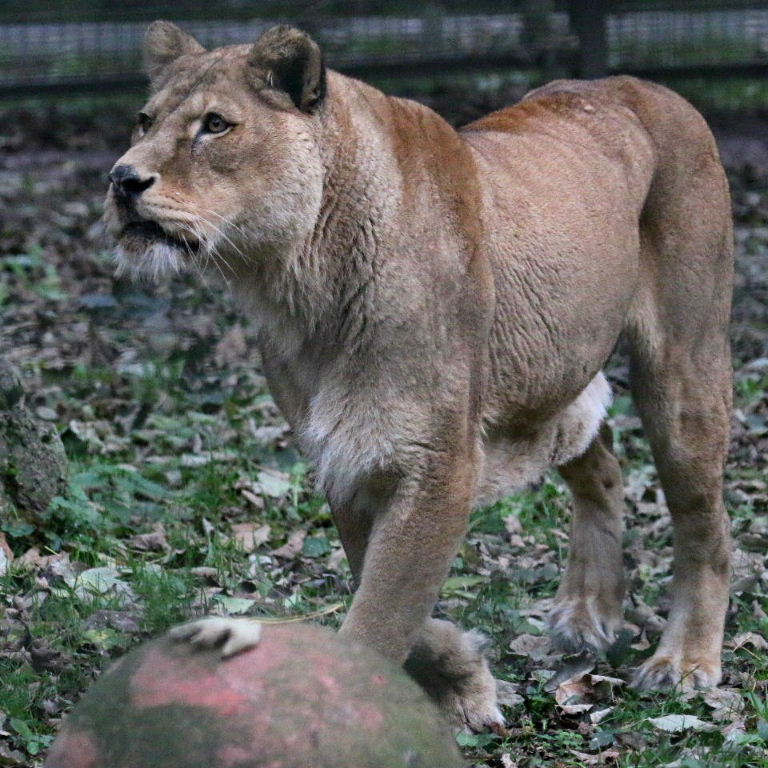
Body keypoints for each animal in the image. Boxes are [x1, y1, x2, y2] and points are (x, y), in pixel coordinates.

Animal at [105, 21, 734, 731]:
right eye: (145, 119)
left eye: (215, 125)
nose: (122, 179)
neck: (297, 286)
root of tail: (642, 84)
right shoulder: (347, 456)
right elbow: (380, 588)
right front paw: (462, 677)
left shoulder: (437, 461)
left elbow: (381, 611)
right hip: (553, 375)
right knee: (600, 461)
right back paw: (587, 610)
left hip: (682, 366)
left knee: (705, 522)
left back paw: (684, 661)